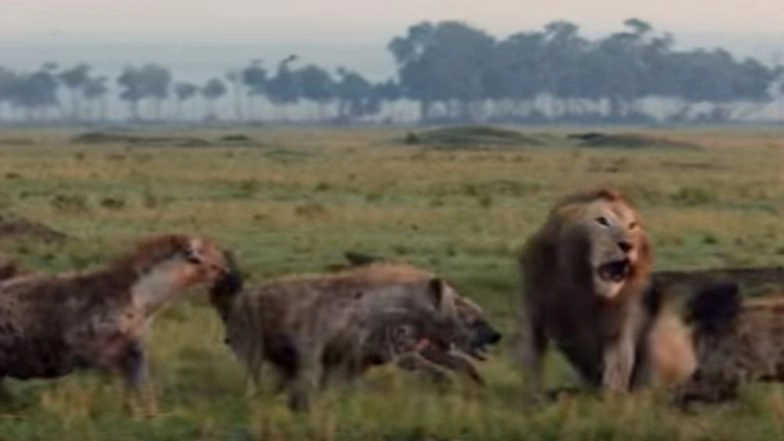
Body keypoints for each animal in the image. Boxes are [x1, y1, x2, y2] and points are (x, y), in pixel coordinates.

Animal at [0, 234, 241, 396]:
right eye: (213, 261)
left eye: (221, 257)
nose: (231, 273)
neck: (142, 299)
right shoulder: (93, 349)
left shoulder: (135, 347)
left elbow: (141, 383)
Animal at [209, 263, 469, 411]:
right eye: (454, 308)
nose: (461, 332)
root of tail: (237, 299)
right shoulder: (312, 343)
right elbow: (312, 377)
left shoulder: (357, 350)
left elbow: (335, 381)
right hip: (247, 335)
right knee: (252, 373)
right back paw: (253, 399)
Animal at [519, 187, 653, 398]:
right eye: (602, 221)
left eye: (632, 225)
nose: (628, 245)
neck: (586, 289)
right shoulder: (534, 304)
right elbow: (533, 352)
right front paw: (533, 396)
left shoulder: (618, 321)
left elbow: (617, 361)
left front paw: (612, 397)